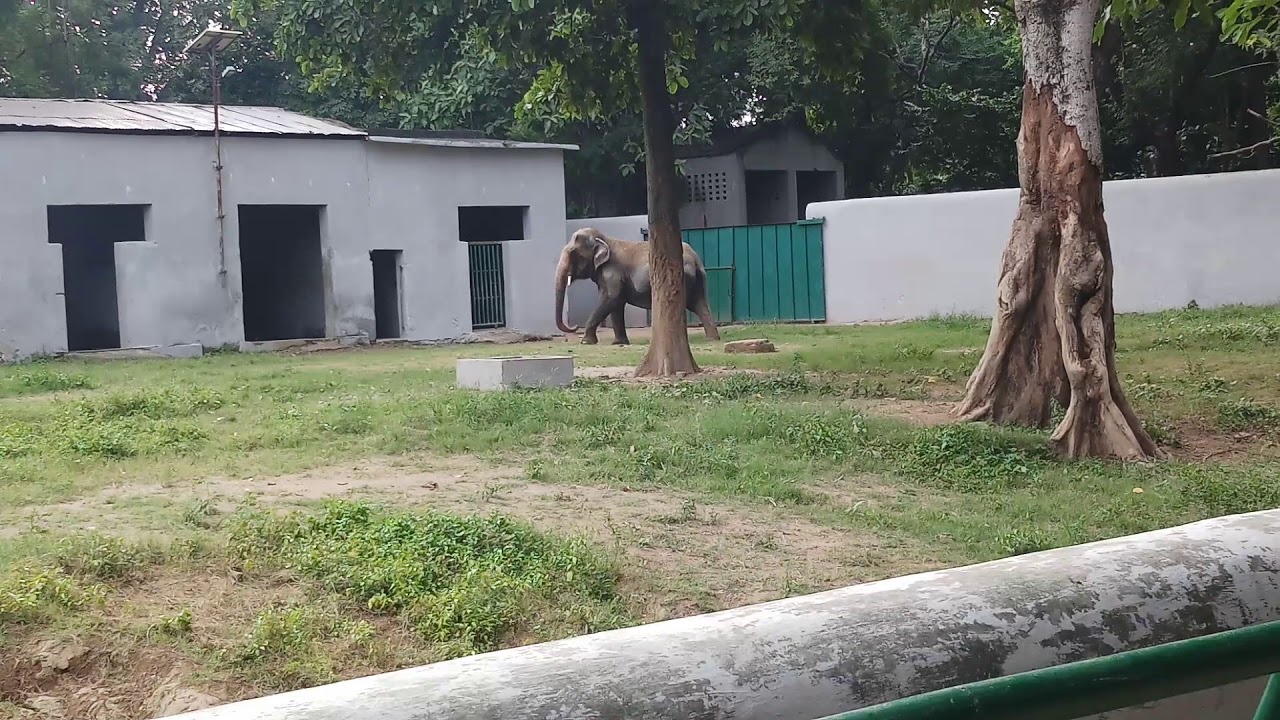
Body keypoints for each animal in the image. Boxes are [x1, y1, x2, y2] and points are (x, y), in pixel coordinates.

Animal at [554, 227, 721, 345]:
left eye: (573, 252)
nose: (575, 326)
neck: (606, 239)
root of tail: (696, 258)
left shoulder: (612, 272)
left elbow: (611, 298)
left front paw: (586, 342)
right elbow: (616, 304)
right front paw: (619, 343)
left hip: (683, 277)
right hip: (698, 281)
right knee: (700, 305)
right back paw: (712, 339)